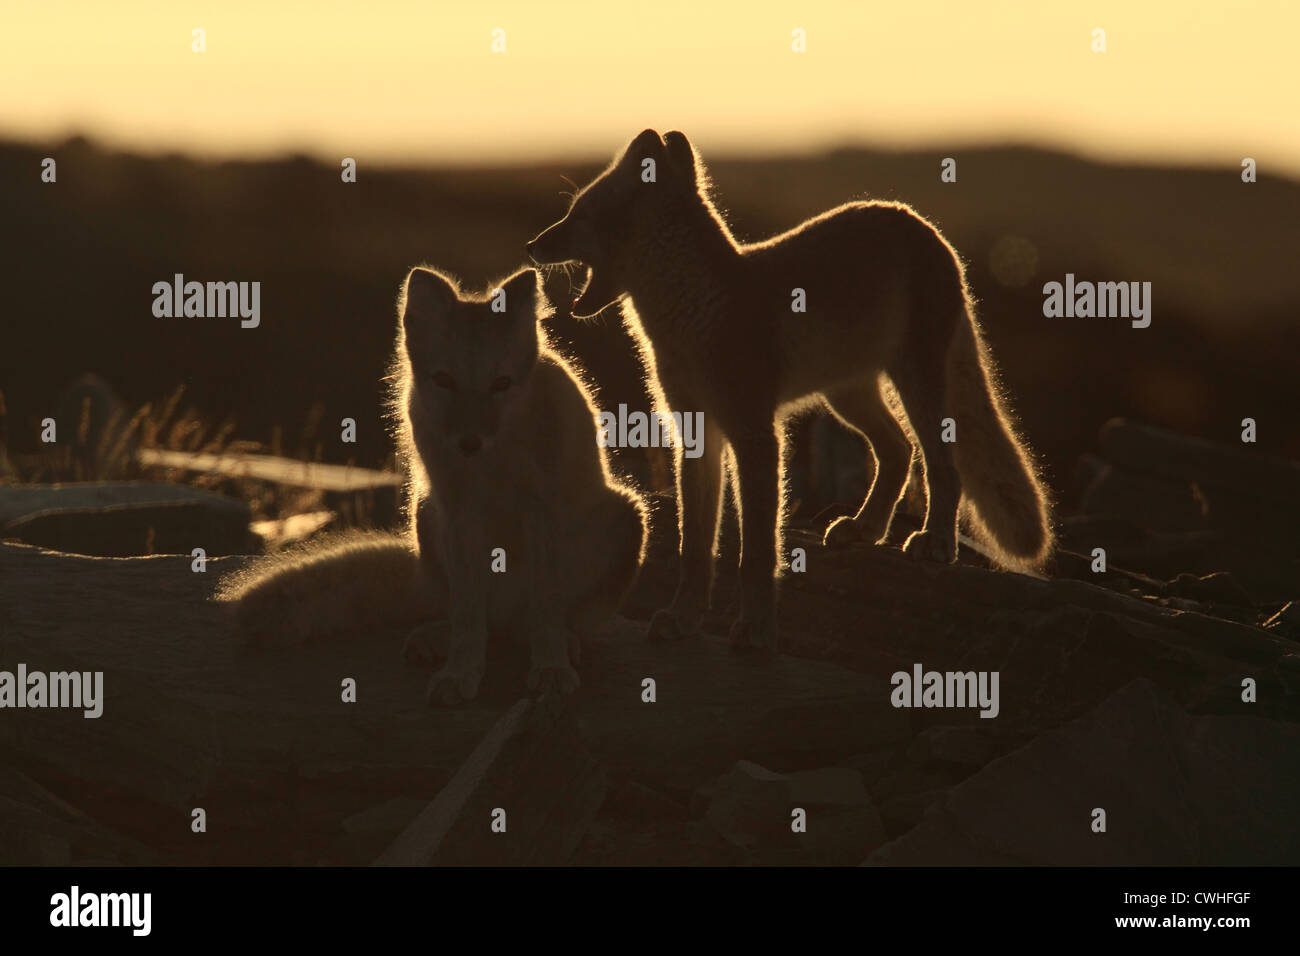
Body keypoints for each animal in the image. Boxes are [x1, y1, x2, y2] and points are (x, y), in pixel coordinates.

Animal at [217, 267, 648, 703]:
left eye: (501, 384)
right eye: (445, 381)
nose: (470, 443)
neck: (491, 463)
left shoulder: (540, 510)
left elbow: (546, 609)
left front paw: (551, 666)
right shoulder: (458, 511)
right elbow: (468, 617)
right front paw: (460, 673)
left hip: (626, 514)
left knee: (542, 623)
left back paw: (561, 642)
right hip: (424, 515)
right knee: (476, 620)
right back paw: (438, 638)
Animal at [527, 129, 1053, 652]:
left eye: (579, 214)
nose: (532, 245)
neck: (692, 315)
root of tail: (922, 224)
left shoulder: (756, 435)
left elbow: (757, 553)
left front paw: (756, 631)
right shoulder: (695, 433)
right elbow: (694, 548)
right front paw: (684, 617)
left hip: (914, 384)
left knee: (942, 466)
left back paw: (936, 542)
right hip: (847, 397)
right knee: (899, 450)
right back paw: (865, 529)